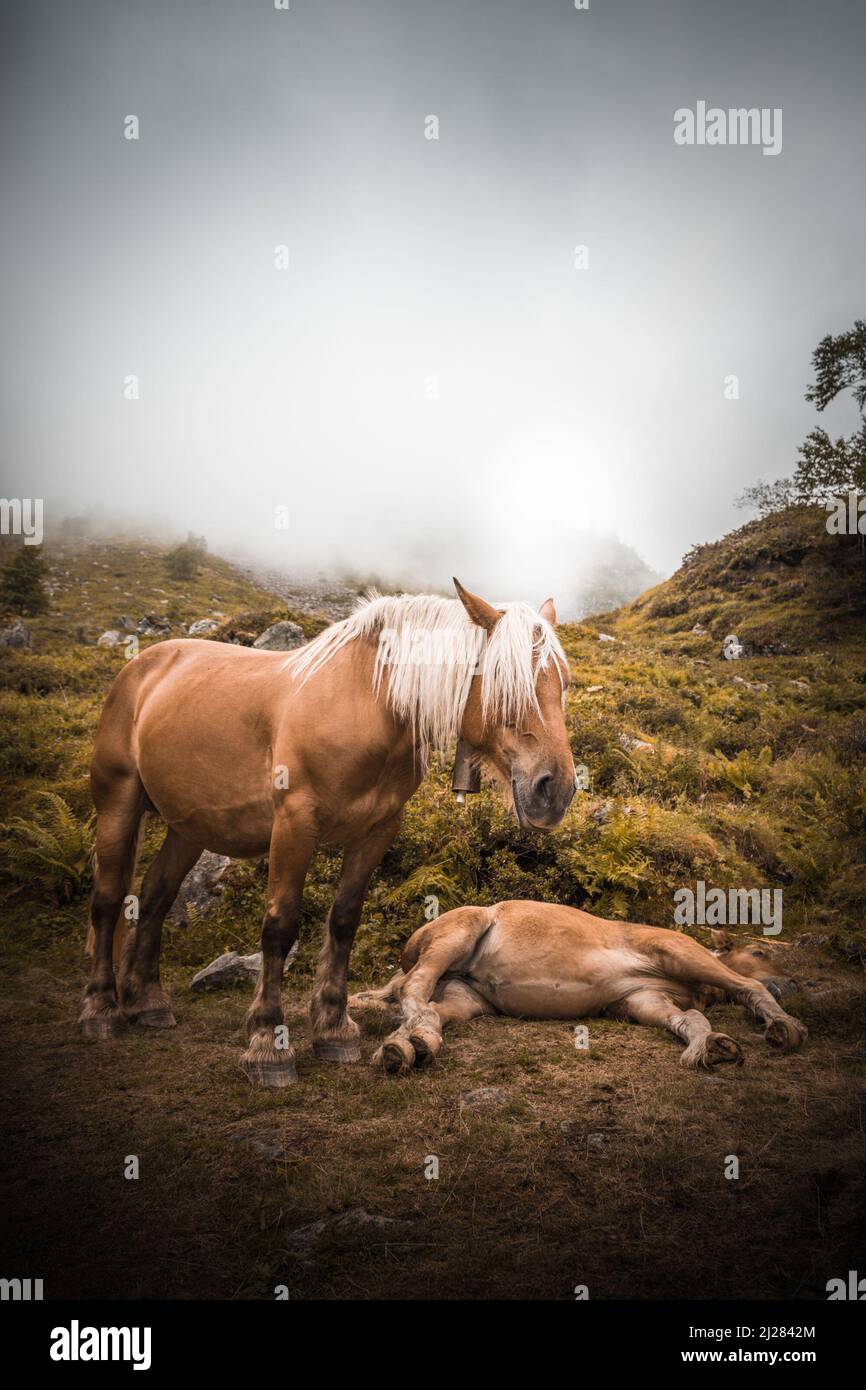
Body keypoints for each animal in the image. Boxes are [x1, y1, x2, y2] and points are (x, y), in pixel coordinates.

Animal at [80, 581, 576, 1085]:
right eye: (506, 684)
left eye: (562, 684)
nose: (555, 790)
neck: (367, 706)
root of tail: (141, 666)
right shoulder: (294, 824)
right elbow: (280, 926)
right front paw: (267, 1044)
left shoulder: (377, 830)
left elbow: (343, 920)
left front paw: (334, 1029)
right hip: (119, 804)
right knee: (108, 900)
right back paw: (101, 1009)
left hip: (188, 829)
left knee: (156, 896)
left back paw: (148, 1003)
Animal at [349, 901, 807, 1073]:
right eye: (761, 952)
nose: (795, 982)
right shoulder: (673, 949)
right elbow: (750, 985)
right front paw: (786, 1028)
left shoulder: (644, 1000)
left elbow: (690, 1018)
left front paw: (710, 1047)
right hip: (457, 936)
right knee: (413, 990)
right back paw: (403, 1044)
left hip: (465, 998)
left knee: (429, 1009)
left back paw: (409, 1046)